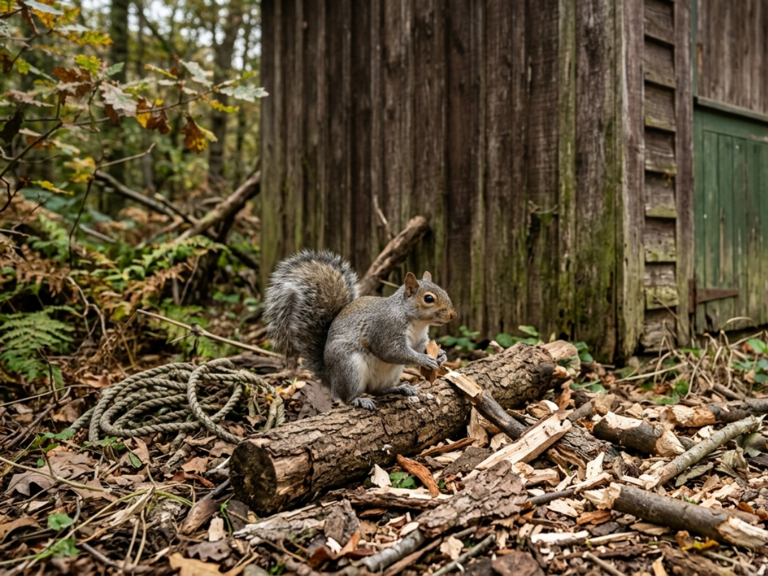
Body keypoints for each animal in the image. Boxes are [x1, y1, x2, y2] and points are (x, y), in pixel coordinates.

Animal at [264, 250, 457, 410]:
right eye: (429, 299)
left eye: (444, 291)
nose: (452, 315)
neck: (416, 321)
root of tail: (331, 379)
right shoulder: (385, 329)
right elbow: (392, 351)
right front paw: (424, 359)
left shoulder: (419, 338)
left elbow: (419, 347)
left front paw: (441, 355)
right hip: (350, 369)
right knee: (346, 397)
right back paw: (359, 399)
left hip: (390, 373)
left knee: (377, 390)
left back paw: (399, 388)